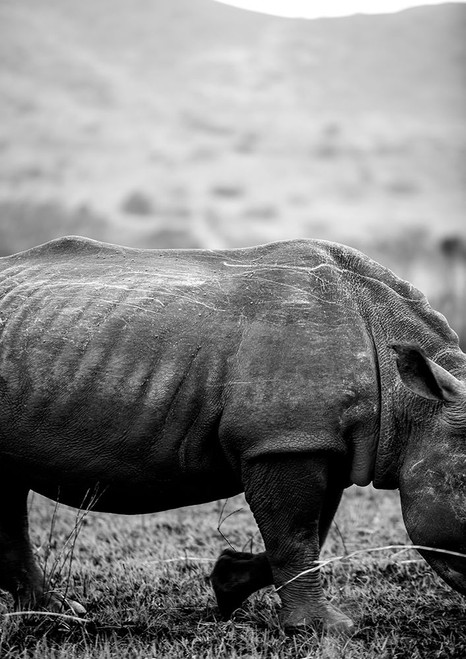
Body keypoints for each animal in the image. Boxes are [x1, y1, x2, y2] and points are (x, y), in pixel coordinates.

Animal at [0, 236, 465, 631]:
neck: (415, 405)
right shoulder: (282, 441)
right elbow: (295, 534)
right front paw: (324, 628)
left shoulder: (316, 441)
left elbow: (312, 528)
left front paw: (228, 584)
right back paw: (57, 613)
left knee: (10, 488)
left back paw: (52, 611)